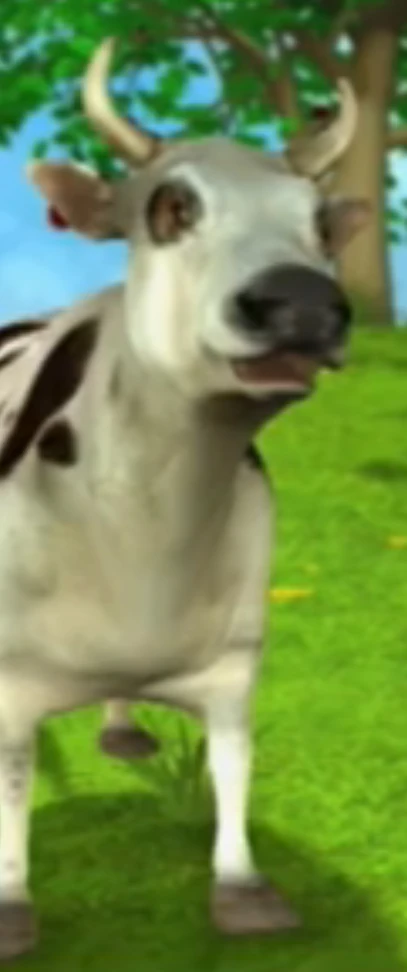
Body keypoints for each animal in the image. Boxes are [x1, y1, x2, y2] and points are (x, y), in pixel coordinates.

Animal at [0, 38, 370, 959]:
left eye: (319, 224)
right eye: (172, 206)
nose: (300, 303)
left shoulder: (237, 653)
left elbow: (234, 761)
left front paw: (242, 888)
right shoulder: (10, 673)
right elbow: (15, 783)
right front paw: (11, 906)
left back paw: (122, 726)